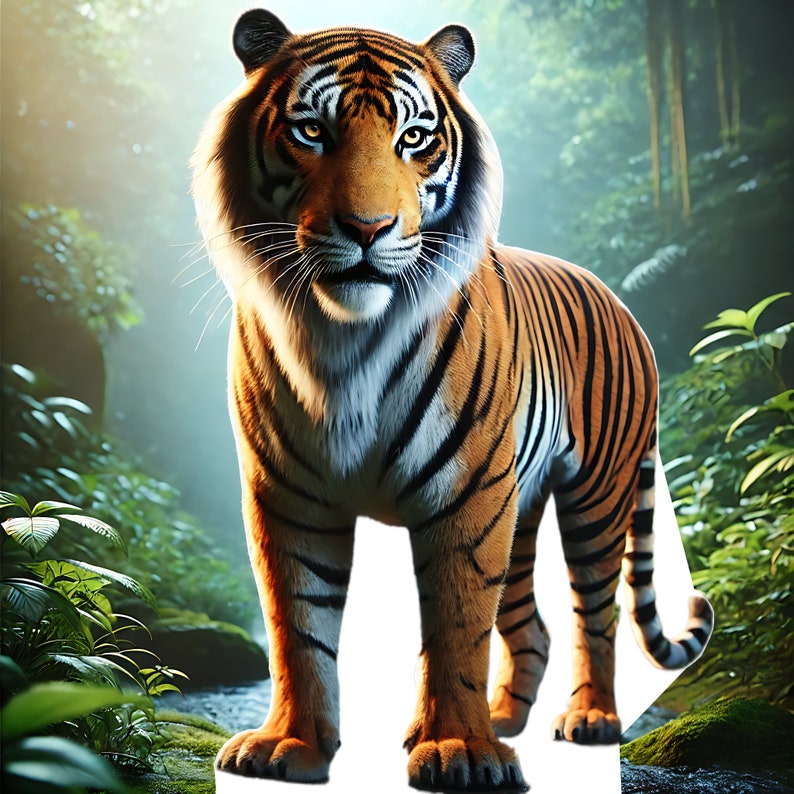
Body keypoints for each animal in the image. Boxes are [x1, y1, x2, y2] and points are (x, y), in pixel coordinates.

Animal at [191, 8, 714, 792]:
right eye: (311, 131)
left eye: (414, 138)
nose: (368, 230)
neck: (345, 339)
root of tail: (620, 300)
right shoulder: (288, 493)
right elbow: (298, 625)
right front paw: (291, 746)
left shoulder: (467, 496)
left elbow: (458, 627)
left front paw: (459, 752)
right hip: (520, 507)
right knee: (532, 625)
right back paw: (502, 719)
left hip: (593, 494)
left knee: (595, 611)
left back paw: (588, 719)